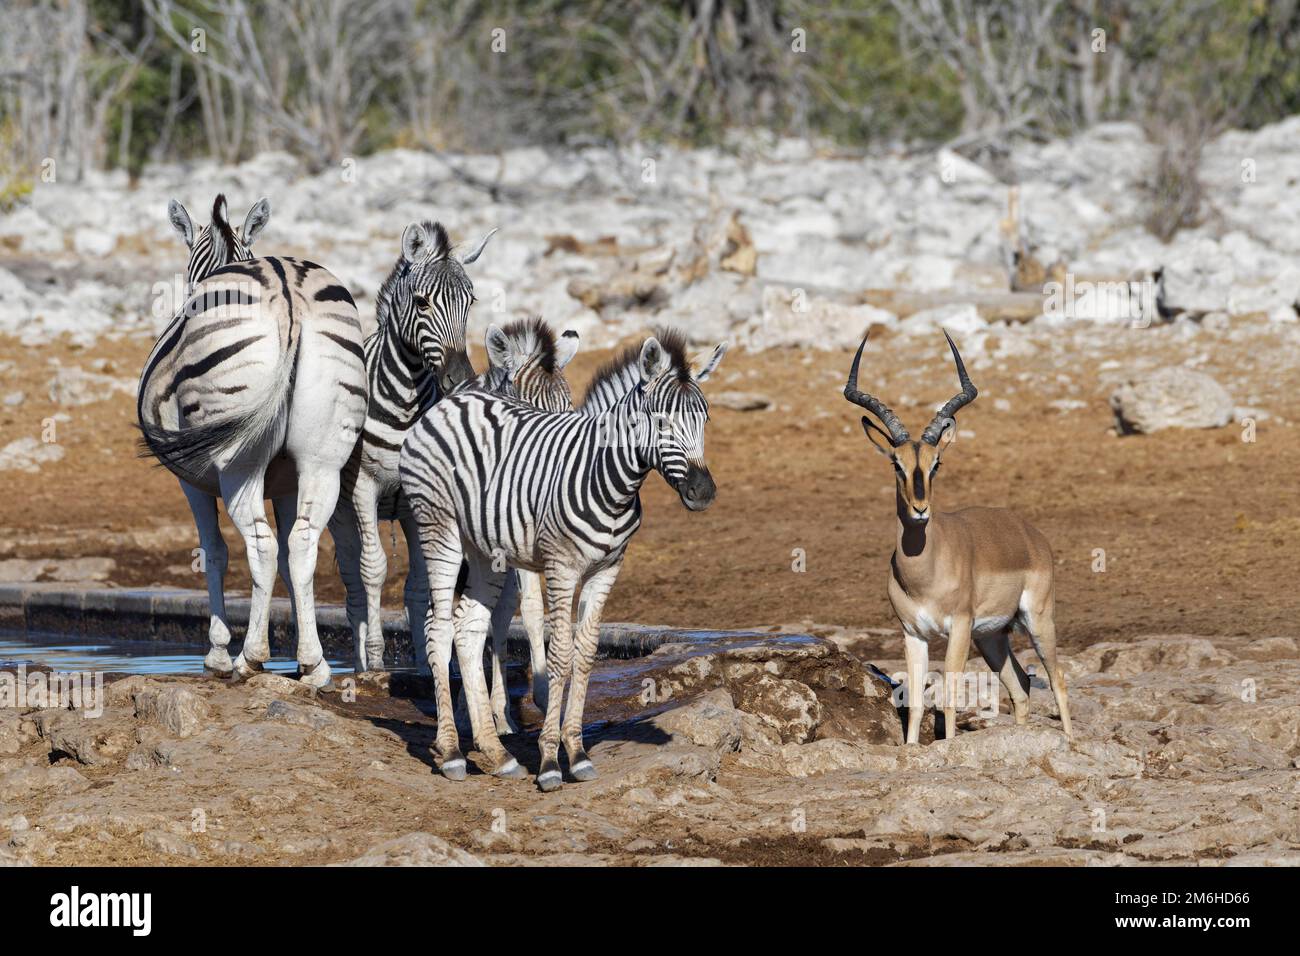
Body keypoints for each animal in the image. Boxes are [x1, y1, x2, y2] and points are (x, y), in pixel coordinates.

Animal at [138, 194, 368, 688]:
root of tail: (287, 295)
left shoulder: (191, 479)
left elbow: (215, 553)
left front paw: (218, 653)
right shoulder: (285, 482)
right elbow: (289, 551)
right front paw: (302, 649)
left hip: (237, 464)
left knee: (259, 544)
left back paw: (251, 658)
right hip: (323, 460)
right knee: (302, 544)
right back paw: (315, 666)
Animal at [327, 220, 492, 675]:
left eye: (470, 302)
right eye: (421, 302)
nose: (460, 378)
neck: (404, 403)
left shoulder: (420, 496)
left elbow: (420, 583)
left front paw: (426, 662)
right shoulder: (363, 487)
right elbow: (373, 569)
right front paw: (377, 657)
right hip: (338, 509)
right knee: (352, 582)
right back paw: (360, 663)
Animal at [399, 327, 726, 789]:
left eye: (705, 420)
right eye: (662, 421)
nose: (703, 492)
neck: (608, 478)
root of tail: (451, 402)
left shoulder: (607, 570)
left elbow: (585, 652)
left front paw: (577, 753)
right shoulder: (560, 567)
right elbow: (559, 655)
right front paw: (551, 761)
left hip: (483, 551)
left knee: (468, 629)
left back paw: (497, 754)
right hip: (438, 529)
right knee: (440, 627)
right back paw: (451, 753)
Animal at [843, 330, 1072, 744]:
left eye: (937, 463)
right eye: (896, 464)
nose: (920, 509)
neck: (925, 570)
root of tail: (1029, 533)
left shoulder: (959, 627)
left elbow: (949, 696)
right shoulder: (913, 633)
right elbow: (917, 703)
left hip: (1037, 619)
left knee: (1057, 679)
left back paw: (1072, 742)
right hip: (993, 637)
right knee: (1021, 686)